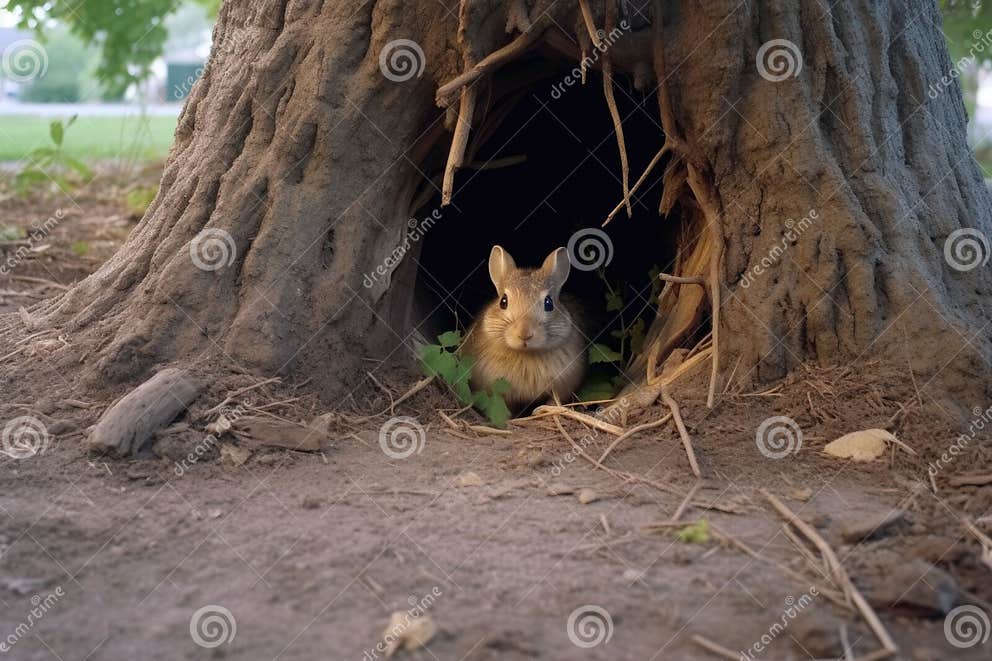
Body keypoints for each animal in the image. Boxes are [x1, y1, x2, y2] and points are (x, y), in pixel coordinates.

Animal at [461, 245, 587, 410]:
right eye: (503, 301)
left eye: (549, 303)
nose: (524, 334)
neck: (526, 353)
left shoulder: (564, 384)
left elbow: (554, 400)